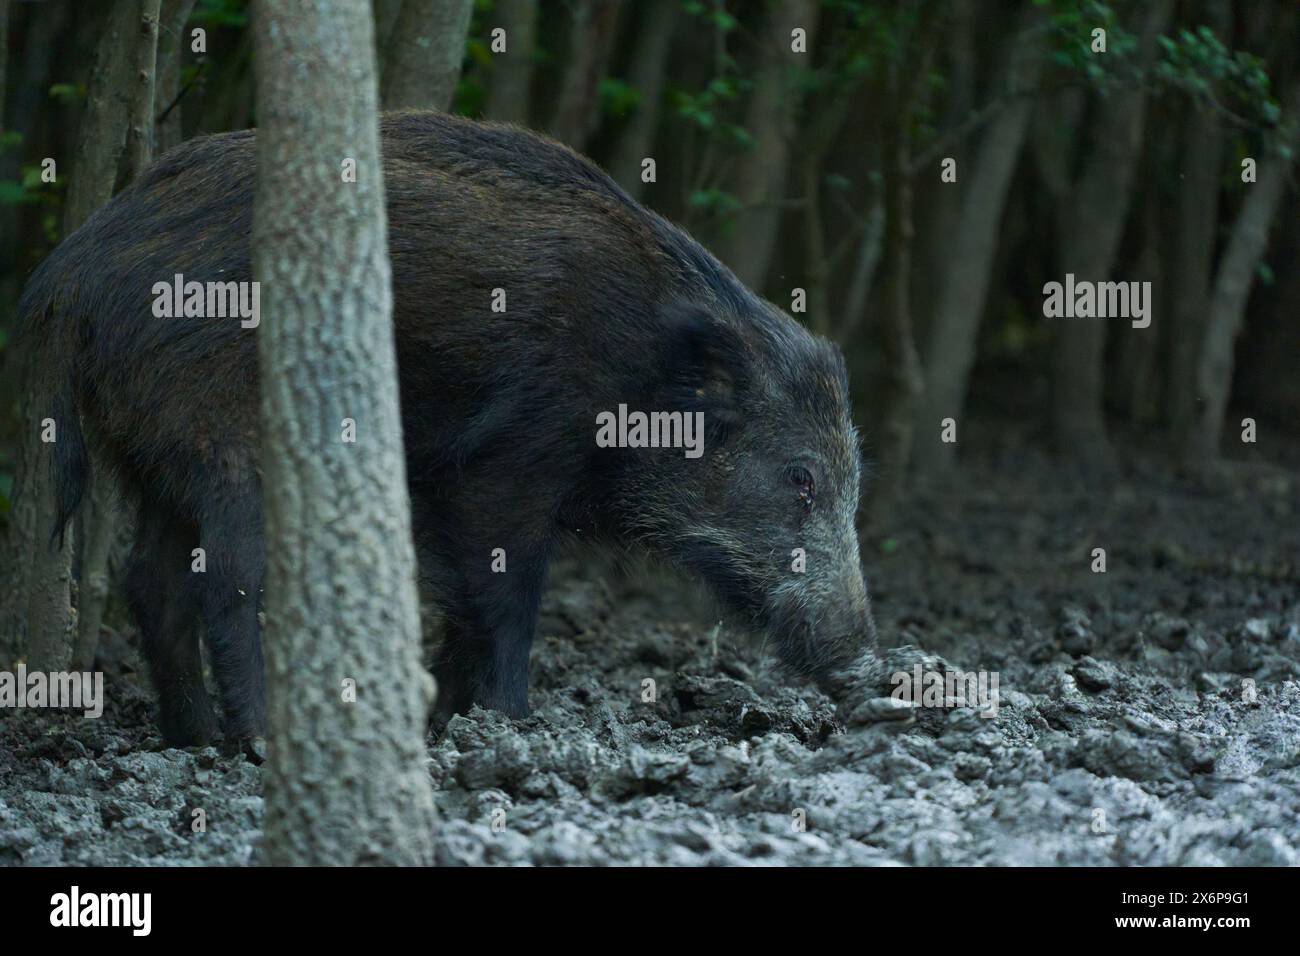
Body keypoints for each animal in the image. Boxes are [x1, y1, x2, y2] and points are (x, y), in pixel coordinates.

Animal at [18, 111, 876, 751]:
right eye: (802, 476)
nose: (865, 657)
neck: (640, 379)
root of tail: (71, 270)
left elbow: (469, 605)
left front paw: (449, 724)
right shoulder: (504, 464)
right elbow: (507, 596)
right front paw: (513, 723)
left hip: (152, 448)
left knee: (152, 582)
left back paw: (192, 738)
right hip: (223, 433)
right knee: (227, 578)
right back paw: (255, 740)